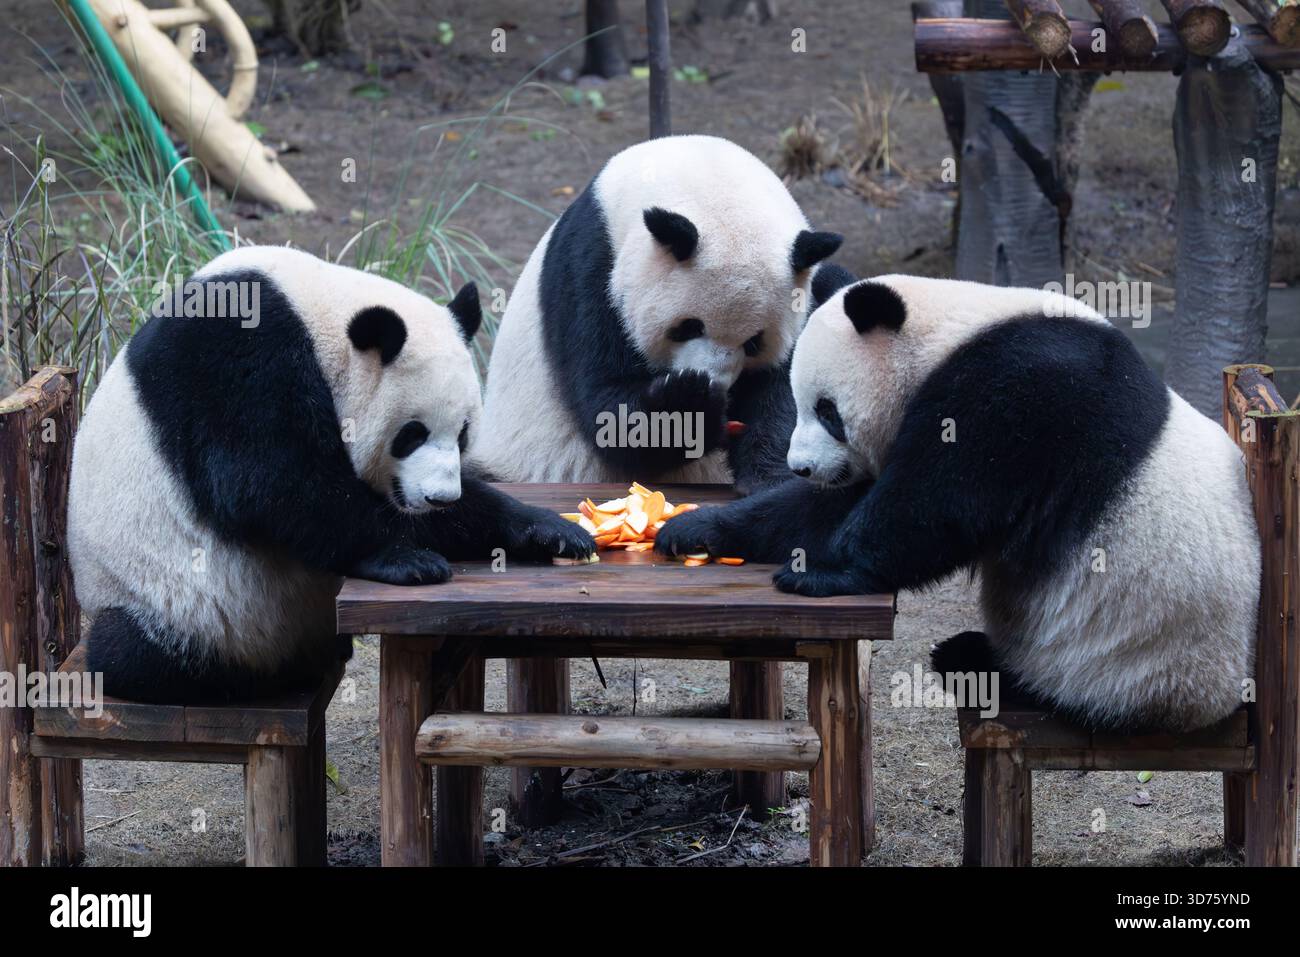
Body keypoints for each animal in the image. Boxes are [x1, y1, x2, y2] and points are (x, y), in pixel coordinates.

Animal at [68, 246, 593, 704]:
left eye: (463, 433)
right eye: (412, 434)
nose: (440, 497)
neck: (315, 314)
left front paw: (551, 531)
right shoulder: (236, 353)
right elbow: (271, 484)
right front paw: (407, 559)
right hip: (165, 600)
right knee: (137, 656)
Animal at [472, 134, 844, 494]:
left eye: (754, 343)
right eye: (688, 327)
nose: (715, 381)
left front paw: (770, 475)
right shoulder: (588, 267)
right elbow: (610, 411)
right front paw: (690, 401)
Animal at [656, 272, 1260, 732]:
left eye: (826, 410)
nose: (802, 466)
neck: (951, 332)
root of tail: (1224, 699)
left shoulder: (1020, 391)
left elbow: (937, 505)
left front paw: (826, 574)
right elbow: (825, 509)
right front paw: (695, 529)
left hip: (1131, 664)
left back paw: (972, 661)